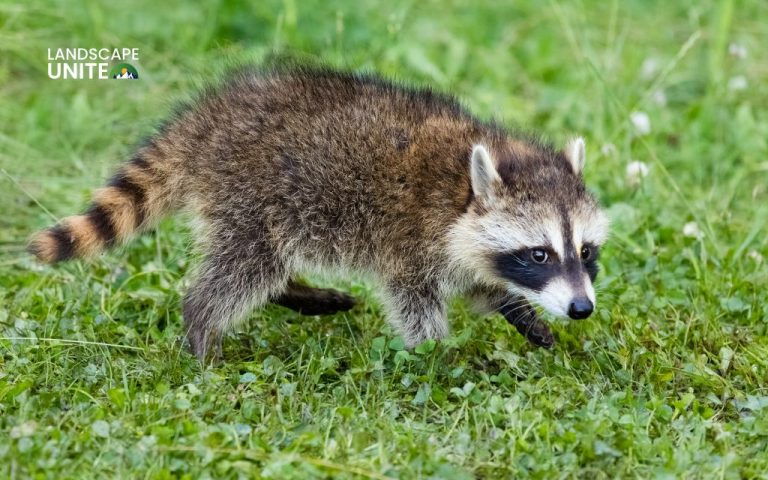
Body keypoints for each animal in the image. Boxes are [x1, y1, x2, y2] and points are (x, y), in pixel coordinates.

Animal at [29, 65, 609, 360]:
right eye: (539, 253)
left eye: (585, 251)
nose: (581, 308)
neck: (464, 186)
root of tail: (206, 120)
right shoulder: (413, 238)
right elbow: (415, 303)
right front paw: (438, 359)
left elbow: (478, 283)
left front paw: (522, 313)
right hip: (252, 192)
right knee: (244, 269)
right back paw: (202, 329)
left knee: (259, 266)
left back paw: (297, 294)